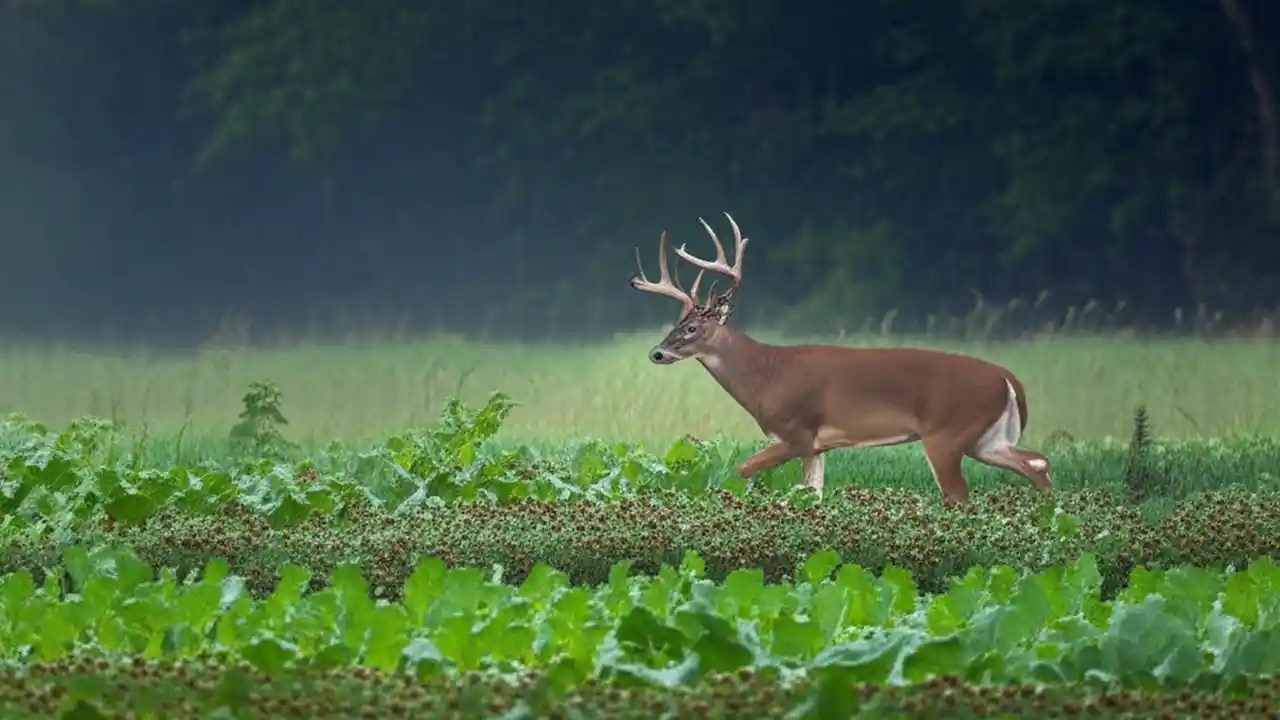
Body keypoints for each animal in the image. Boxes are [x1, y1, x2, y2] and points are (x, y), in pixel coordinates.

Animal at [628, 213, 1053, 505]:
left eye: (691, 328)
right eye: (677, 323)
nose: (657, 352)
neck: (765, 375)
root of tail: (1008, 380)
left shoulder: (797, 432)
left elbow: (744, 469)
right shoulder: (817, 447)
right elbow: (811, 493)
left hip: (947, 434)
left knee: (964, 494)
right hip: (986, 438)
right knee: (1037, 463)